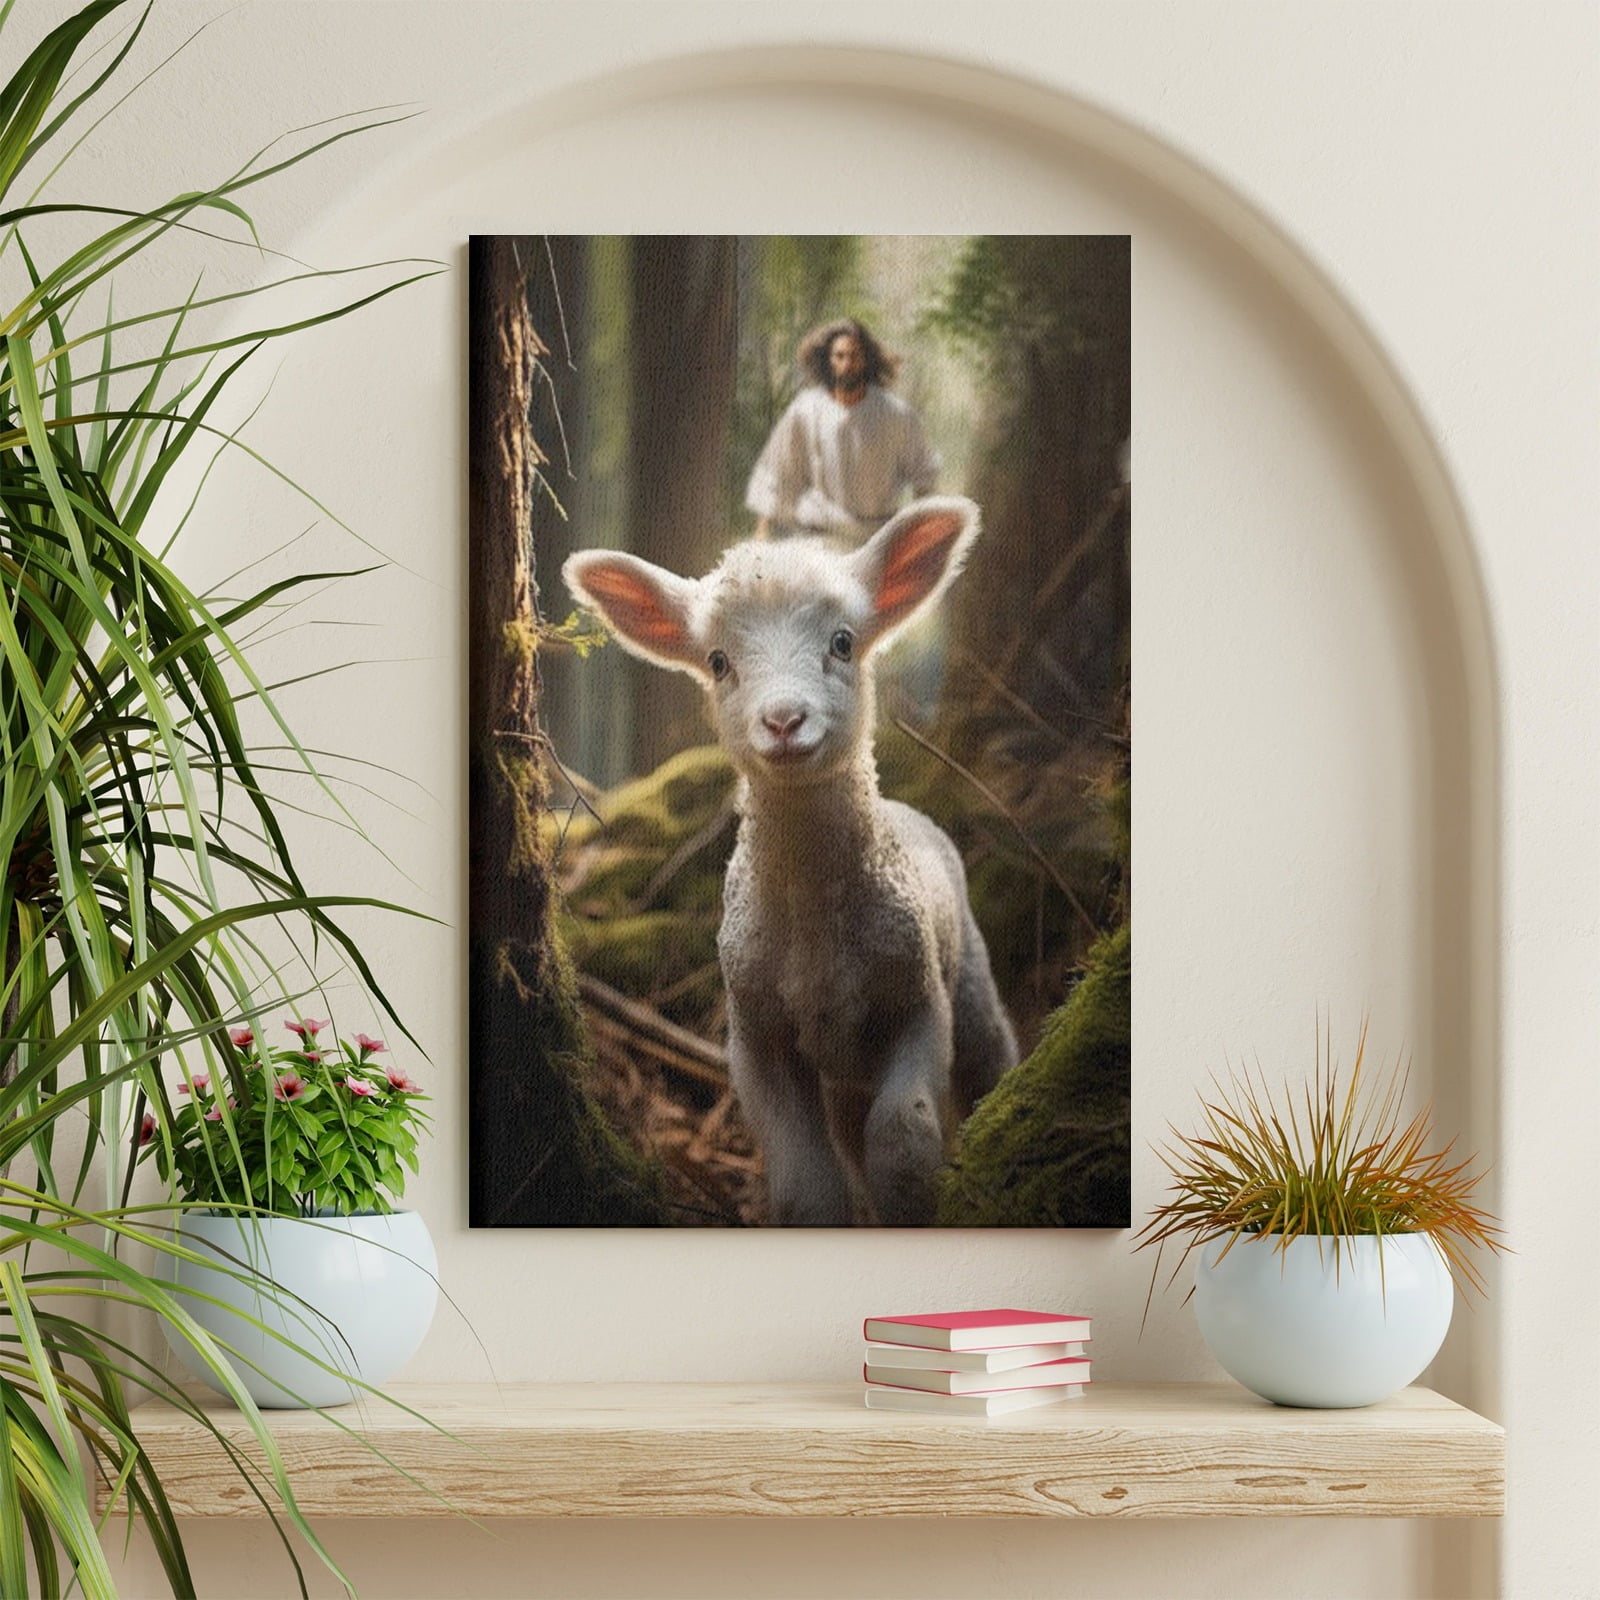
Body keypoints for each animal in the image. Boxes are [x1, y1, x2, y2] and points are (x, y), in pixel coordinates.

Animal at [563, 497, 1018, 1225]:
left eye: (843, 642)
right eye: (718, 661)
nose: (782, 721)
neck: (815, 934)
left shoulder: (919, 1003)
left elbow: (904, 1138)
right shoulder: (755, 1037)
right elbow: (808, 1186)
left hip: (969, 977)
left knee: (989, 1060)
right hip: (843, 1070)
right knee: (850, 1134)